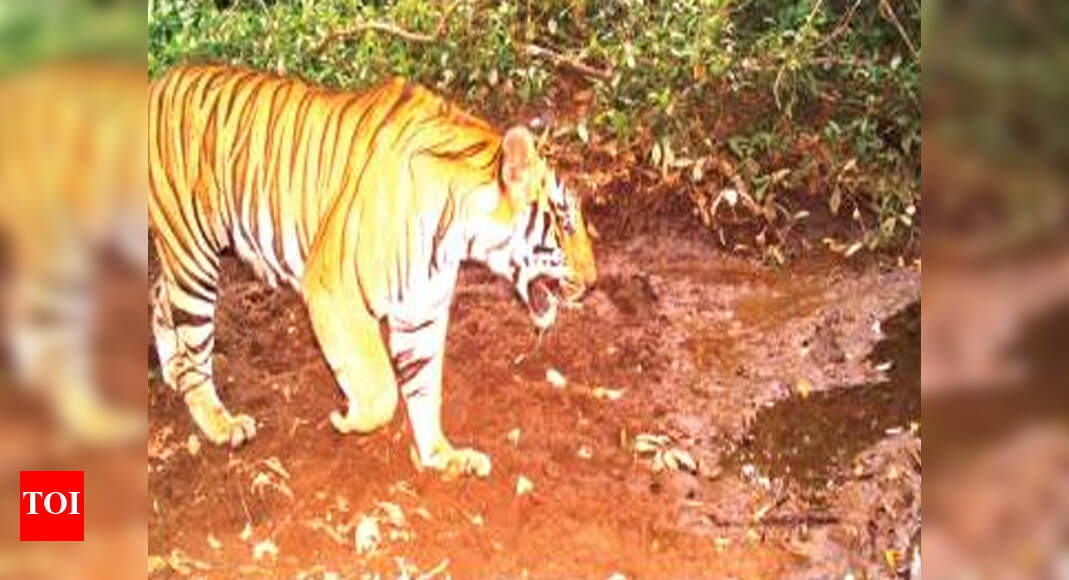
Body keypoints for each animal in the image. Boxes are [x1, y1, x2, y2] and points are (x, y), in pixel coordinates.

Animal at [149, 64, 597, 478]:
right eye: (565, 223)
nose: (593, 284)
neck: (457, 231)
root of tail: (161, 80)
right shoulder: (332, 291)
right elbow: (382, 388)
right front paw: (348, 419)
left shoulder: (421, 310)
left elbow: (424, 387)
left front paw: (441, 455)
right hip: (192, 252)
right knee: (194, 338)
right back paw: (220, 421)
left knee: (160, 295)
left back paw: (174, 373)